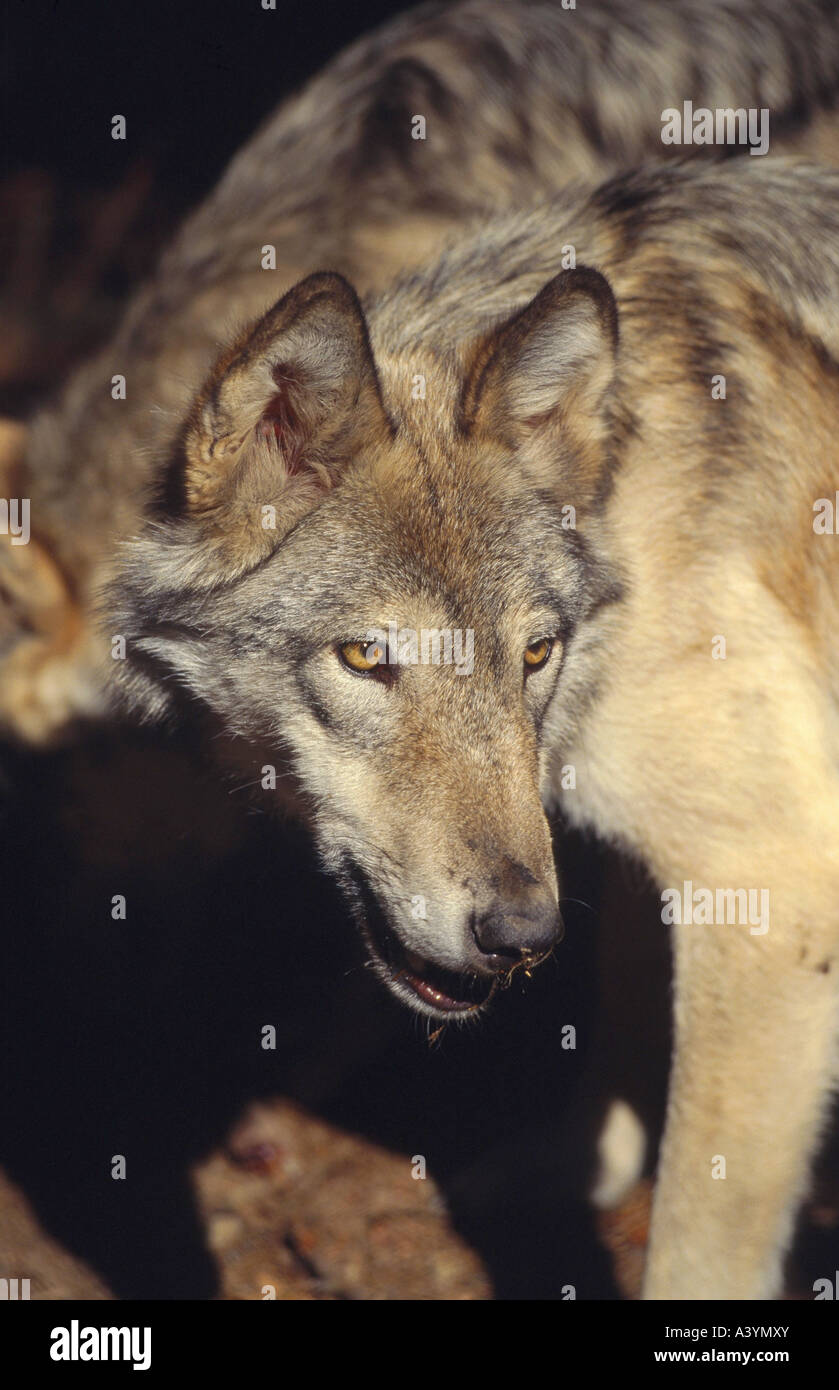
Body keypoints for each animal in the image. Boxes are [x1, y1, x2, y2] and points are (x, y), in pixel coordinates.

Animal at [102, 158, 839, 1299]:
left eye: (532, 654)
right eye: (366, 657)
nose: (522, 939)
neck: (635, 503)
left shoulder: (776, 886)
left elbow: (697, 1244)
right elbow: (626, 1001)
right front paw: (579, 1167)